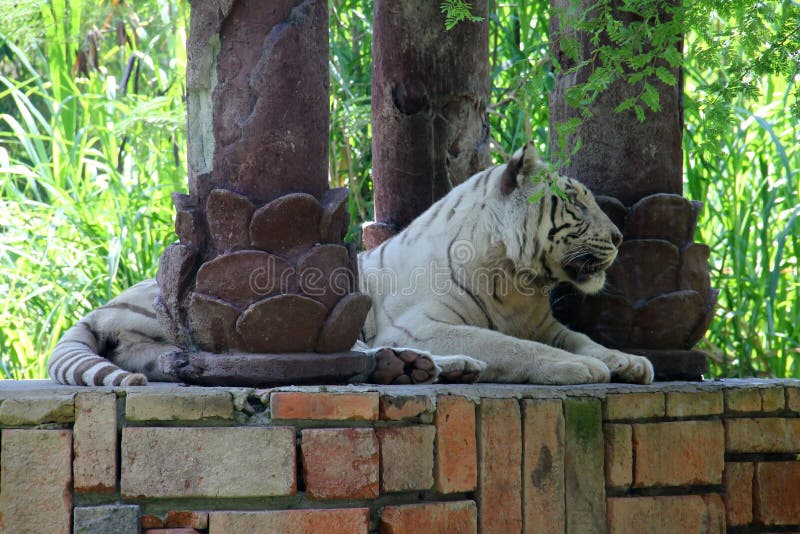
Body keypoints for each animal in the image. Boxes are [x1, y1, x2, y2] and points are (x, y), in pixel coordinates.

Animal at [48, 141, 654, 387]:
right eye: (575, 203)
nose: (620, 236)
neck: (521, 280)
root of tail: (97, 309)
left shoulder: (546, 322)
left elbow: (583, 339)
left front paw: (627, 361)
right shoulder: (424, 322)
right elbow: (511, 346)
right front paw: (580, 370)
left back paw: (426, 369)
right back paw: (424, 366)